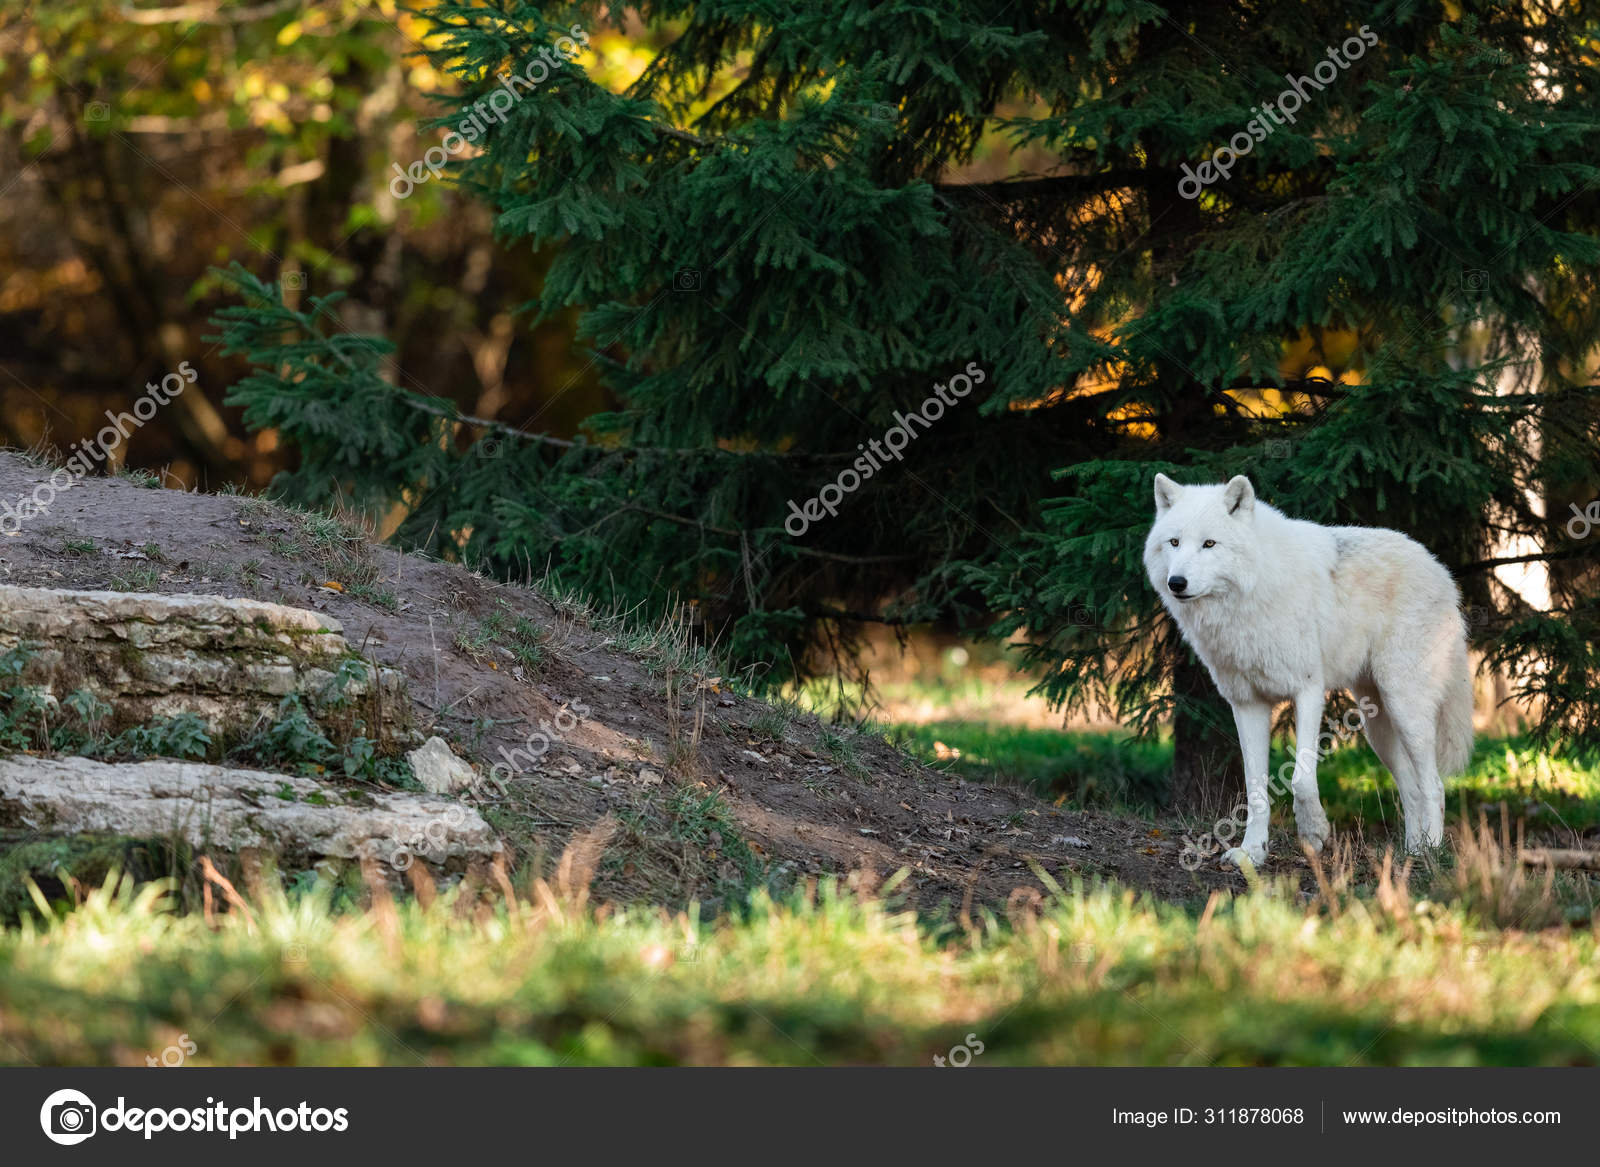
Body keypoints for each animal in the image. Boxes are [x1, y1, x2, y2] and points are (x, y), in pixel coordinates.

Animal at [1144, 474, 1474, 868]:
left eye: (1209, 544)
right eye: (1174, 542)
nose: (1176, 582)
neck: (1251, 594)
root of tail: (1441, 570)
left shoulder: (1308, 691)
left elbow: (1301, 779)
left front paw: (1314, 832)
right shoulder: (1247, 704)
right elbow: (1255, 788)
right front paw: (1252, 852)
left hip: (1406, 709)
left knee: (1433, 785)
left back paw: (1432, 852)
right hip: (1377, 727)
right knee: (1410, 788)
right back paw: (1412, 851)